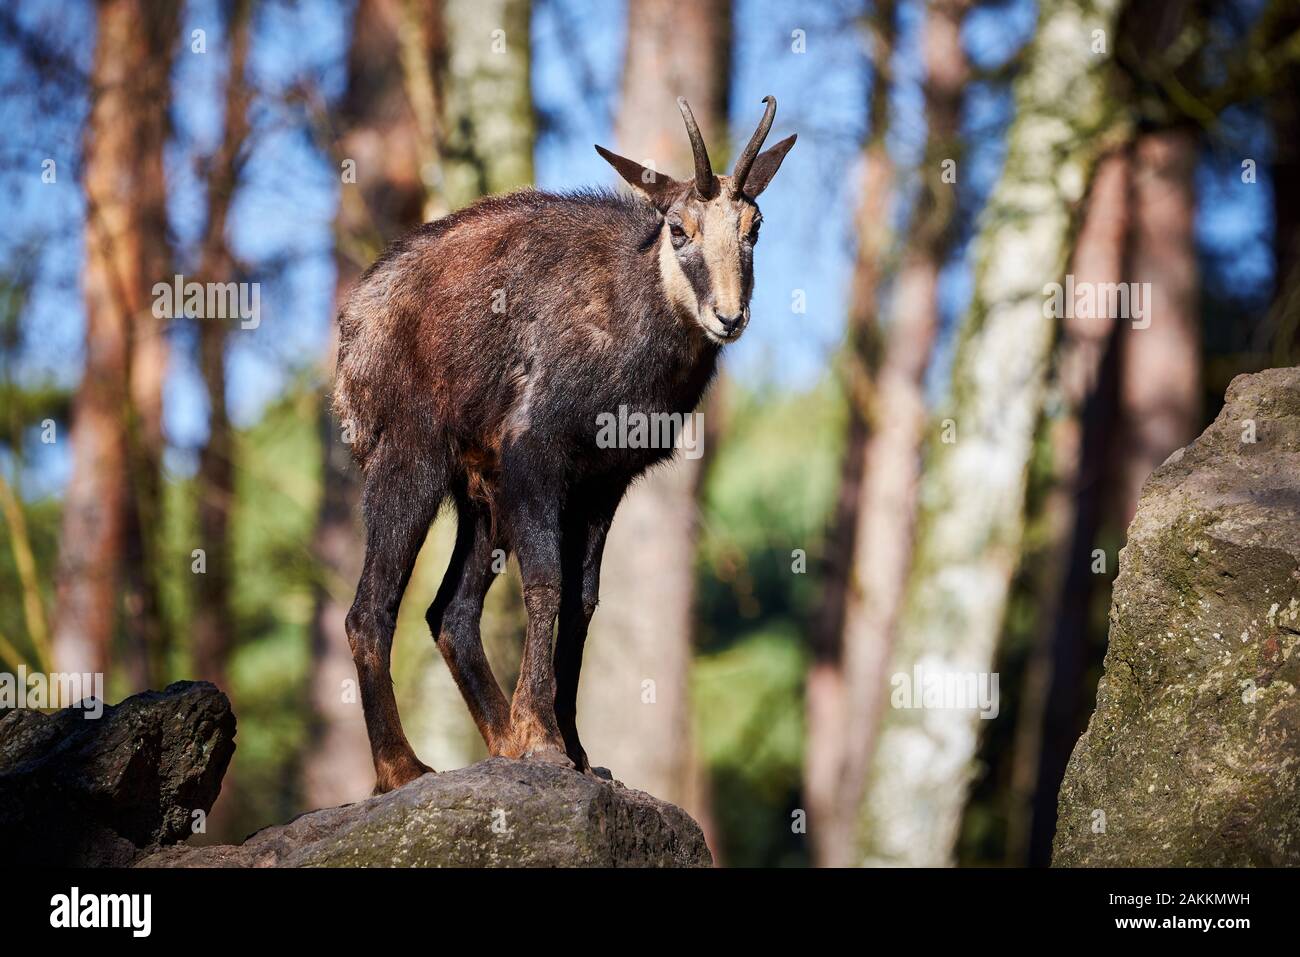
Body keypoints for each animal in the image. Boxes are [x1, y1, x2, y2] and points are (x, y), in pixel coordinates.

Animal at [335, 96, 795, 793]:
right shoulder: (536, 458)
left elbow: (584, 601)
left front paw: (577, 753)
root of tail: (353, 323)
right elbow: (547, 583)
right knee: (371, 609)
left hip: (481, 497)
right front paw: (547, 742)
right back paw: (403, 768)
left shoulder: (603, 482)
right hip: (408, 460)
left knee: (450, 613)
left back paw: (501, 744)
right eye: (678, 228)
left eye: (756, 227)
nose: (728, 317)